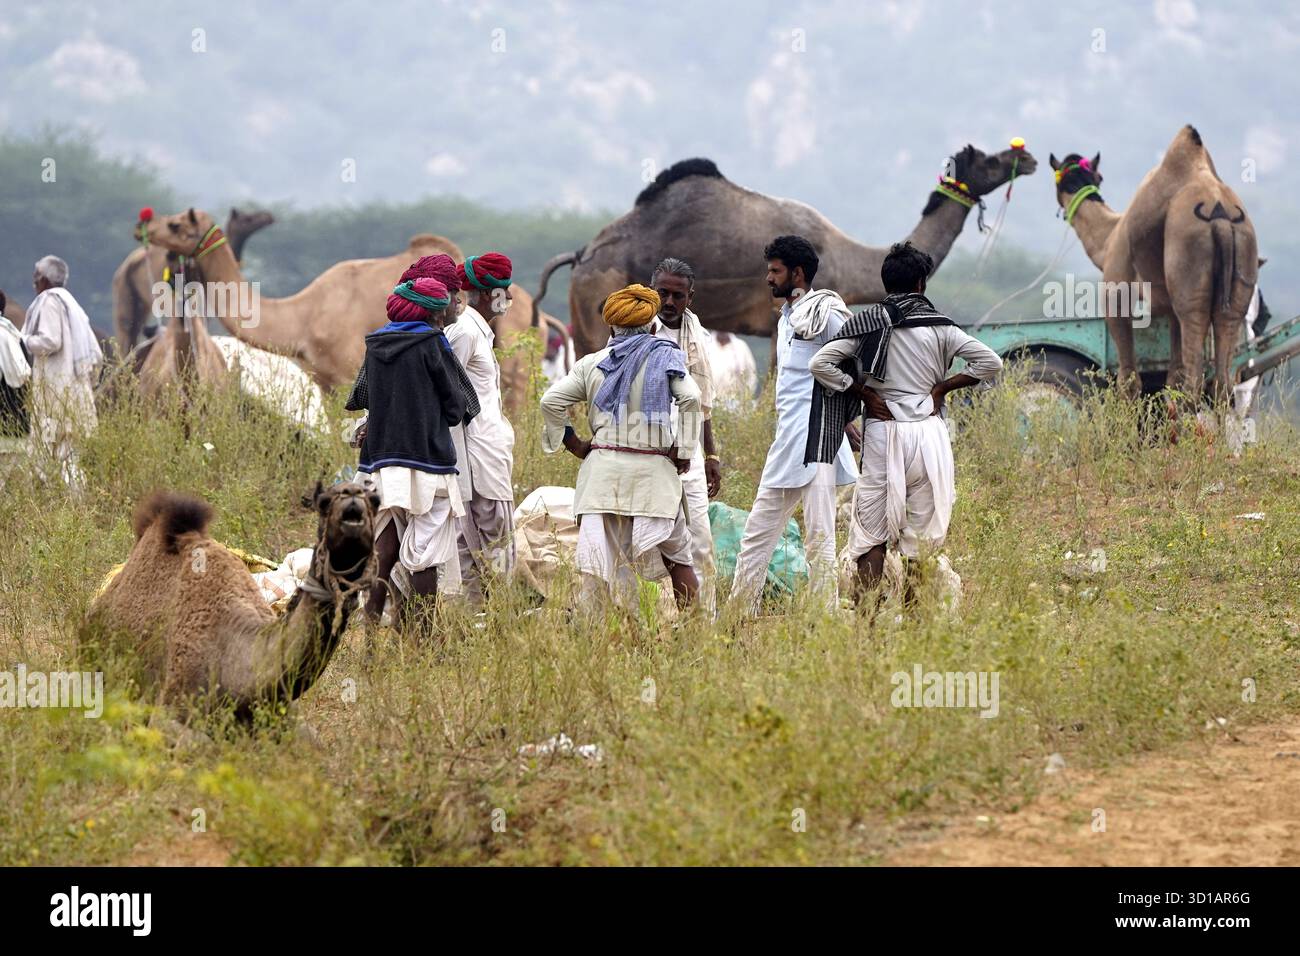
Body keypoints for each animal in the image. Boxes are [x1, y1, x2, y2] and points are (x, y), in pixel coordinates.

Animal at [112, 207, 274, 355]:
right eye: (248, 219)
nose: (268, 217)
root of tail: (123, 267)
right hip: (125, 289)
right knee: (126, 328)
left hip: (138, 300)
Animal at [139, 208, 569, 407]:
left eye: (177, 225)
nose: (146, 226)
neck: (303, 316)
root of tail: (538, 313)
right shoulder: (324, 380)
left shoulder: (347, 372)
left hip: (516, 369)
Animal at [1049, 126, 1258, 401]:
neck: (1109, 238)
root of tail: (1221, 215)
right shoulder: (1169, 307)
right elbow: (1172, 374)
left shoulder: (1115, 290)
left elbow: (1129, 378)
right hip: (1242, 262)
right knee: (1222, 370)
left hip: (1189, 267)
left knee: (1193, 372)